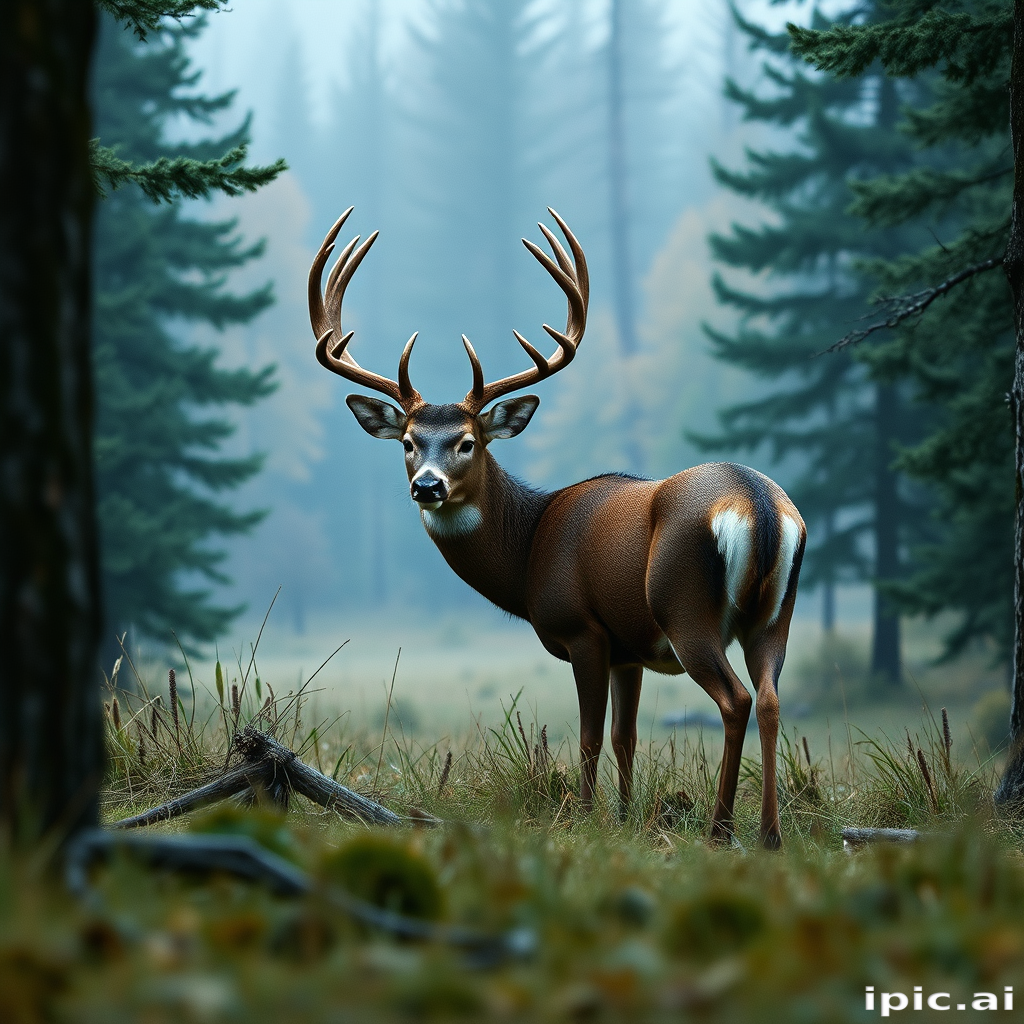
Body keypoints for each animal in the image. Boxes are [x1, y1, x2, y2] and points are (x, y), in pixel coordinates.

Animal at [308, 207, 806, 849]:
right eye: (409, 443)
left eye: (467, 442)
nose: (428, 486)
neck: (529, 553)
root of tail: (758, 503)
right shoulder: (627, 648)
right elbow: (625, 737)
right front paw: (624, 817)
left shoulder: (583, 629)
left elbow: (591, 736)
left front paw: (588, 818)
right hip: (775, 616)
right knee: (769, 698)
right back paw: (769, 834)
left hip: (685, 608)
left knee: (737, 699)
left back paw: (721, 829)